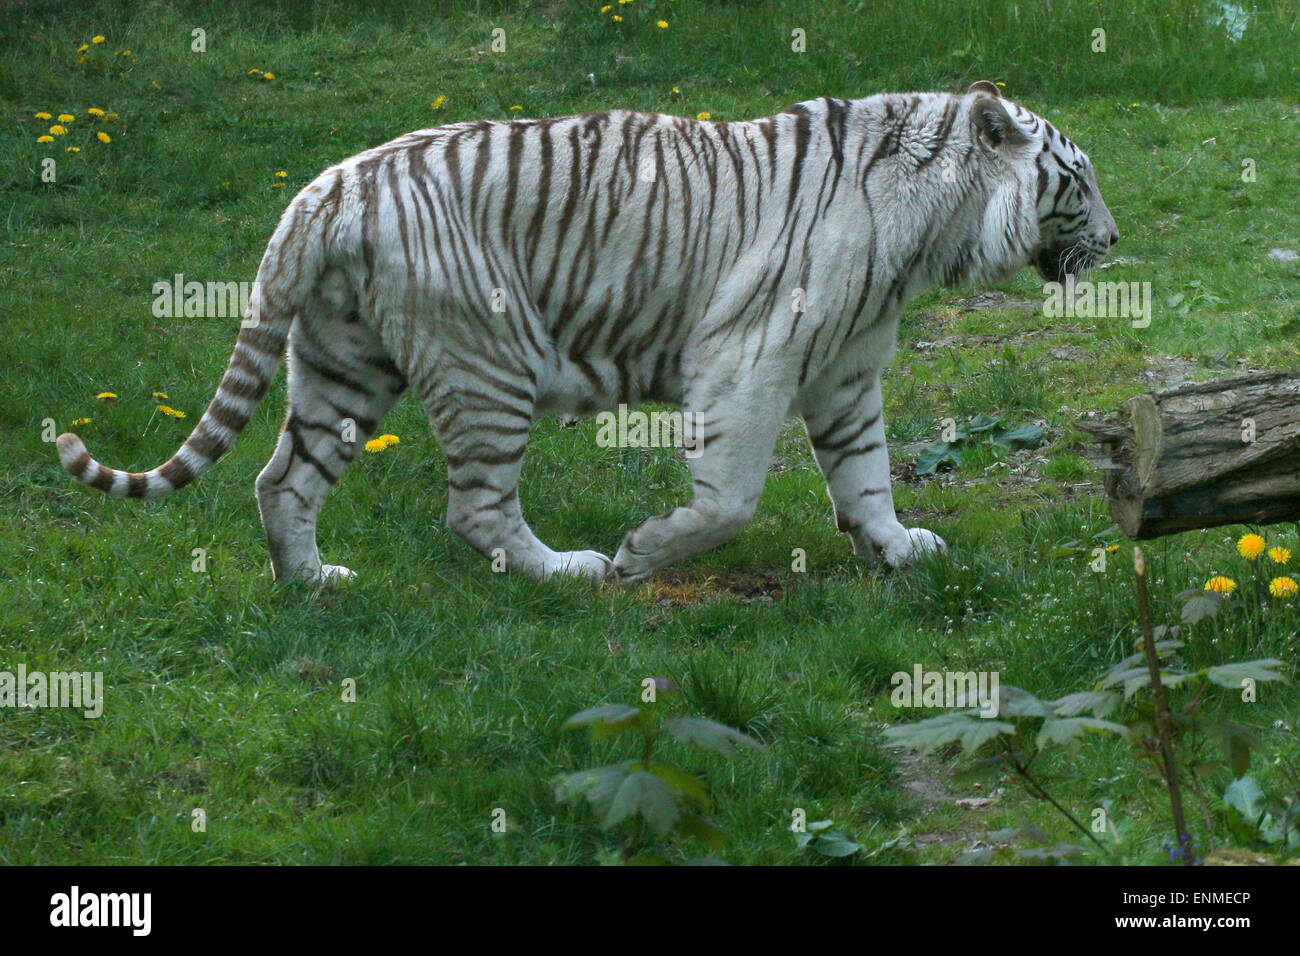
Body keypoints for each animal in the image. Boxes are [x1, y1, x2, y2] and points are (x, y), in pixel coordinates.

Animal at [56, 81, 1117, 585]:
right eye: (1080, 178)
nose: (1113, 239)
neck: (935, 228)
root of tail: (326, 188)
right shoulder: (752, 358)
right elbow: (731, 496)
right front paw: (649, 551)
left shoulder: (847, 371)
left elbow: (866, 475)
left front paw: (896, 550)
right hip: (488, 365)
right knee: (477, 509)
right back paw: (571, 571)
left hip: (342, 364)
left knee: (282, 481)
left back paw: (313, 582)